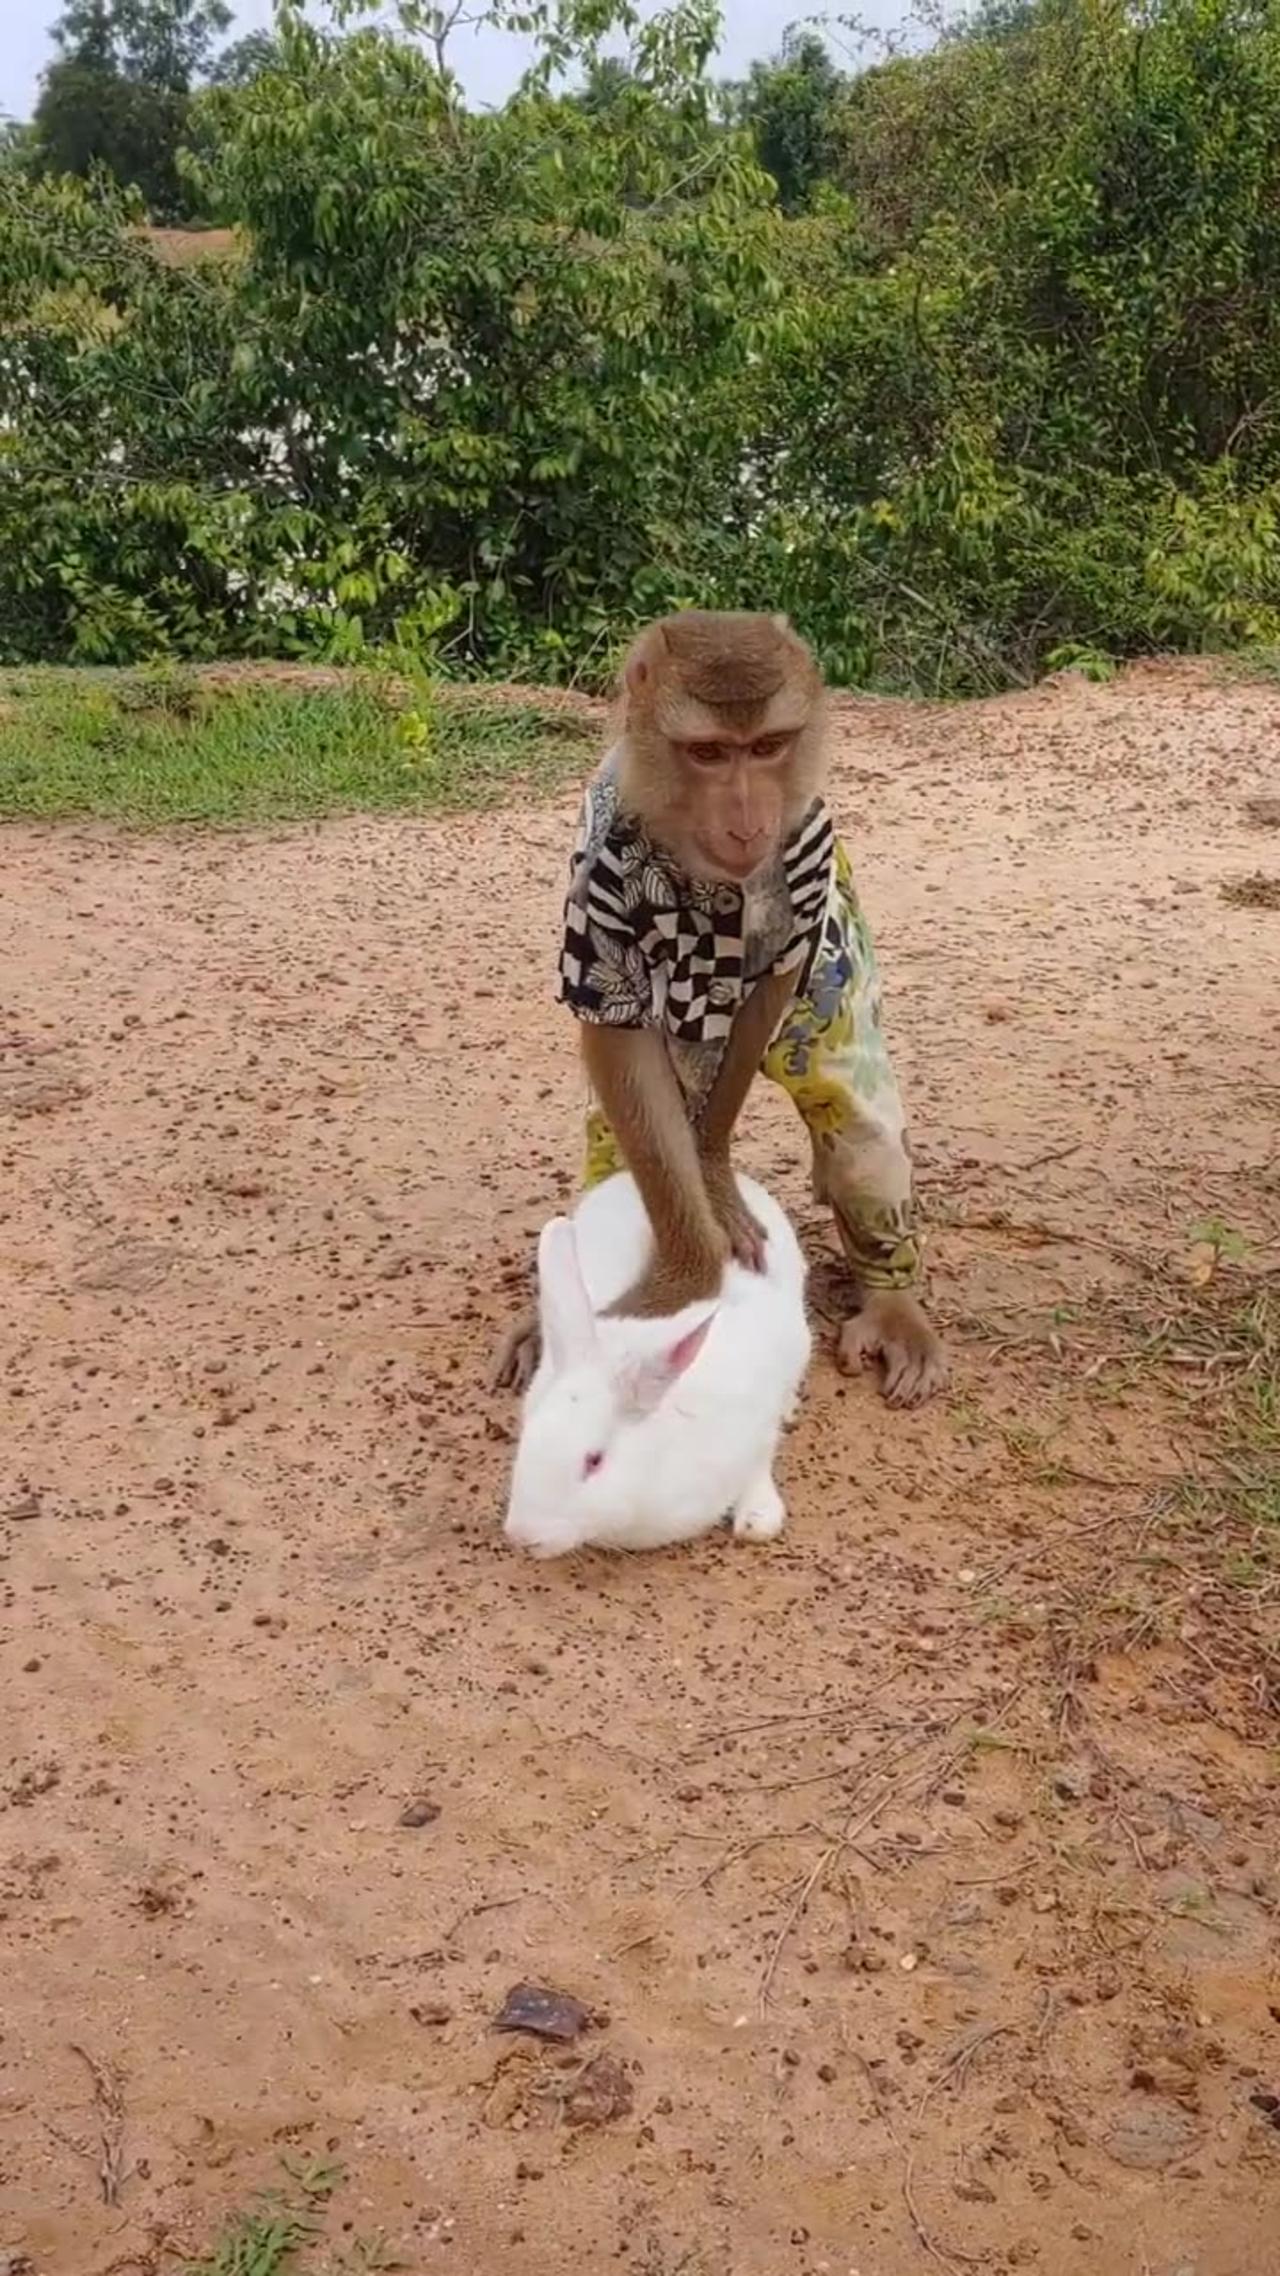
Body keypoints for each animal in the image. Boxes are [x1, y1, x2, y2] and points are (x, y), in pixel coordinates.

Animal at [493, 609, 947, 1409]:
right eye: (707, 753)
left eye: (766, 746)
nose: (745, 820)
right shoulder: (597, 873)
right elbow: (619, 1037)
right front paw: (686, 1266)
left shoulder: (809, 844)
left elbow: (776, 977)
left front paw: (711, 1171)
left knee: (860, 1126)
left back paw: (890, 1299)